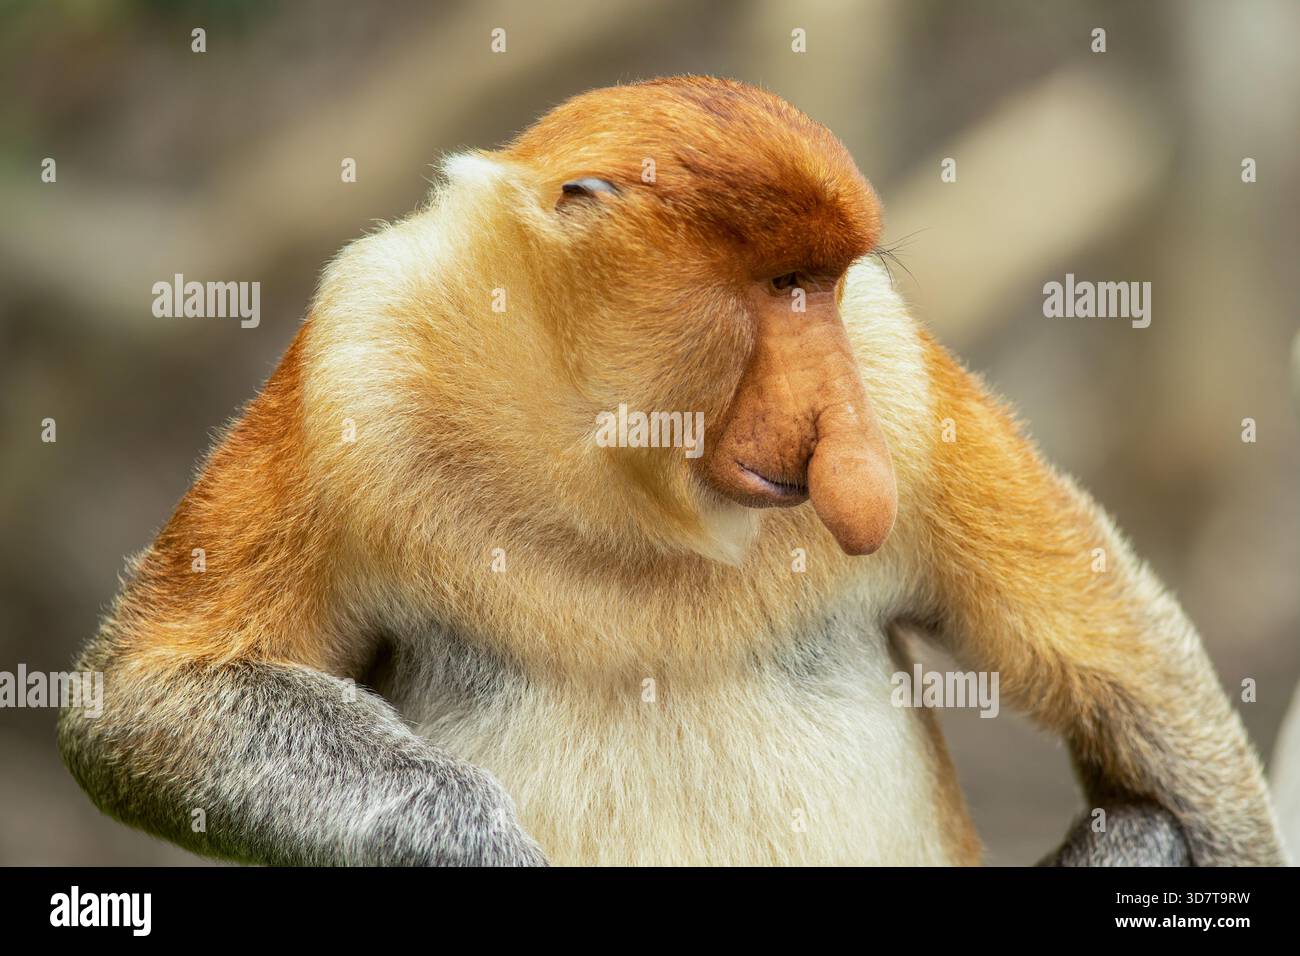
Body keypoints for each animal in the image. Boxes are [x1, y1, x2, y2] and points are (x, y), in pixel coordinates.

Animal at [59, 76, 1284, 866]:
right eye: (781, 283)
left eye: (825, 289)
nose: (839, 437)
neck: (616, 476)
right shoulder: (354, 366)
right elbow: (141, 704)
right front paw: (468, 841)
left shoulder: (892, 377)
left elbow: (1132, 671)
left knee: (1146, 821)